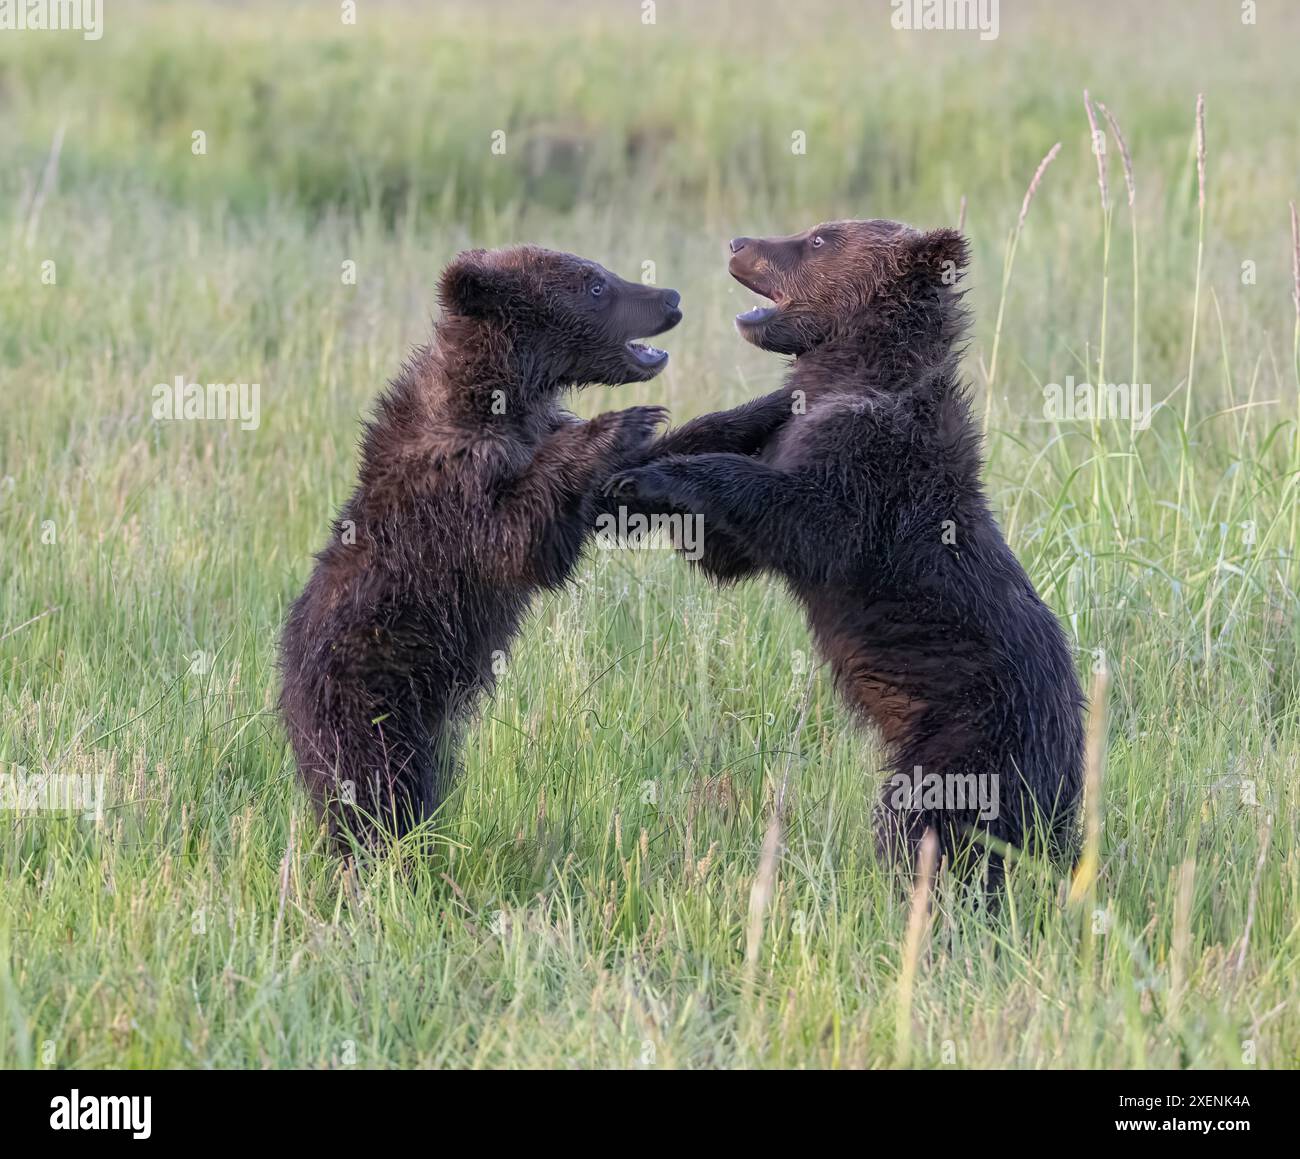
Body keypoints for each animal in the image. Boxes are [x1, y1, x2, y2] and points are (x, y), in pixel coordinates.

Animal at [280, 245, 682, 848]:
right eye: (595, 285)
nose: (670, 296)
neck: (502, 393)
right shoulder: (454, 481)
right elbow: (515, 540)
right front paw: (624, 423)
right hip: (369, 698)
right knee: (374, 789)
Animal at [607, 220, 1084, 884]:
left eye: (818, 239)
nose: (738, 243)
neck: (857, 371)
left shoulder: (875, 471)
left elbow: (803, 518)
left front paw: (656, 477)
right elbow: (724, 541)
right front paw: (633, 461)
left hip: (971, 739)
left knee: (934, 826)